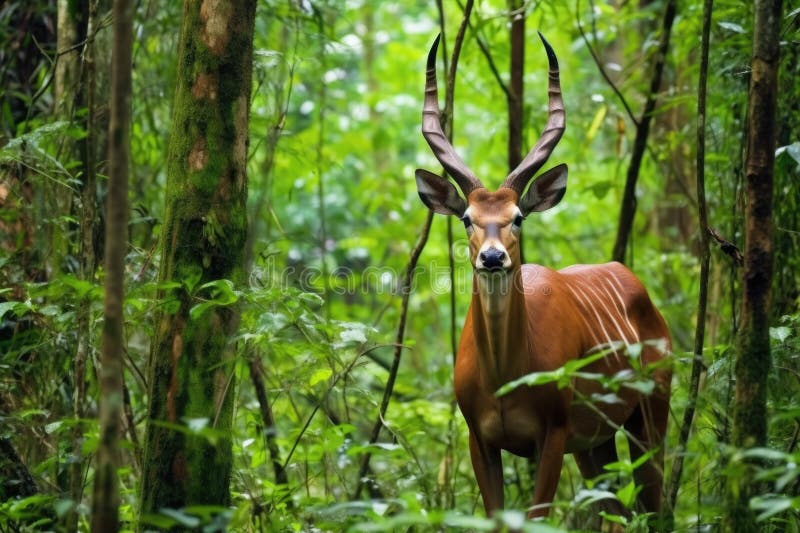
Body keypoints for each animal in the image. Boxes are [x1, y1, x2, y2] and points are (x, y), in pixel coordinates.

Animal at [414, 34, 672, 522]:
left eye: (517, 217)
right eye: (466, 218)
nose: (492, 258)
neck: (504, 380)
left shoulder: (554, 428)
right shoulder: (478, 436)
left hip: (652, 408)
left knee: (655, 504)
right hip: (595, 443)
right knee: (615, 513)